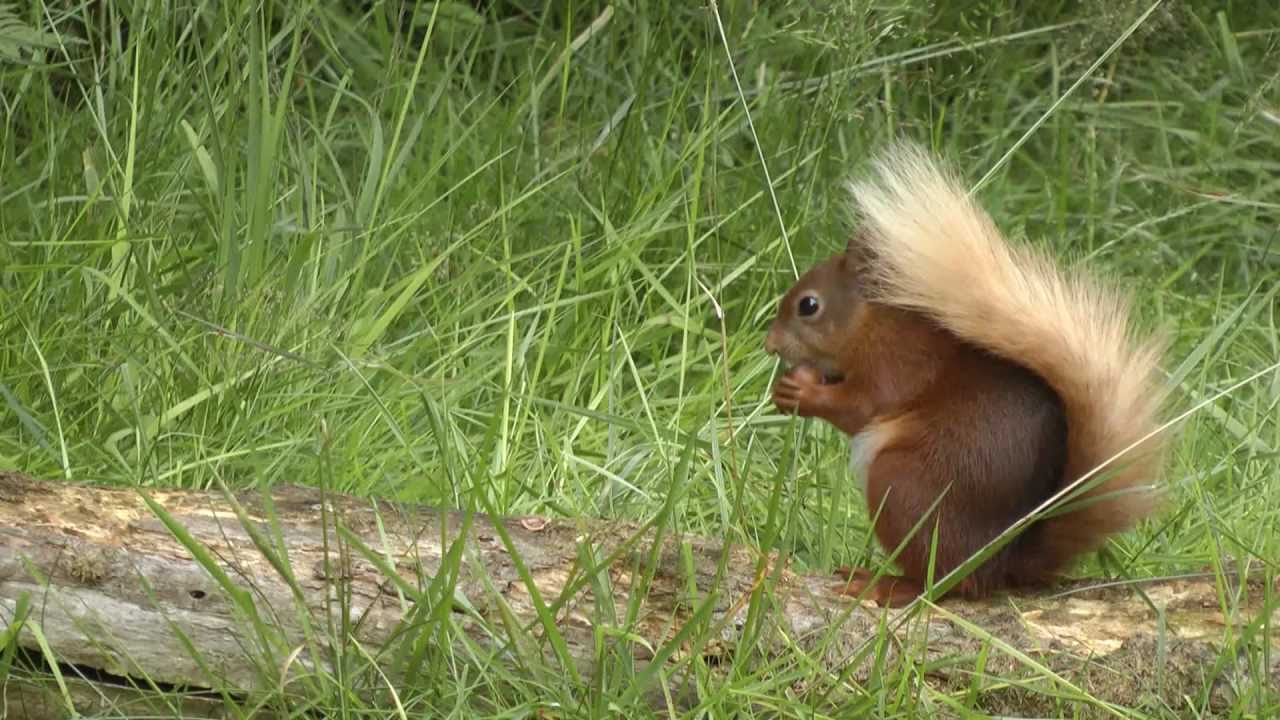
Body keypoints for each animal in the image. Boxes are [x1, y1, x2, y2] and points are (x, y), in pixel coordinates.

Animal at [764, 142, 1168, 607]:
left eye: (808, 305)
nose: (770, 344)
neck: (873, 323)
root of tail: (999, 564)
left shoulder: (898, 364)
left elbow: (860, 407)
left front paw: (801, 392)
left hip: (902, 487)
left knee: (942, 583)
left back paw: (883, 583)